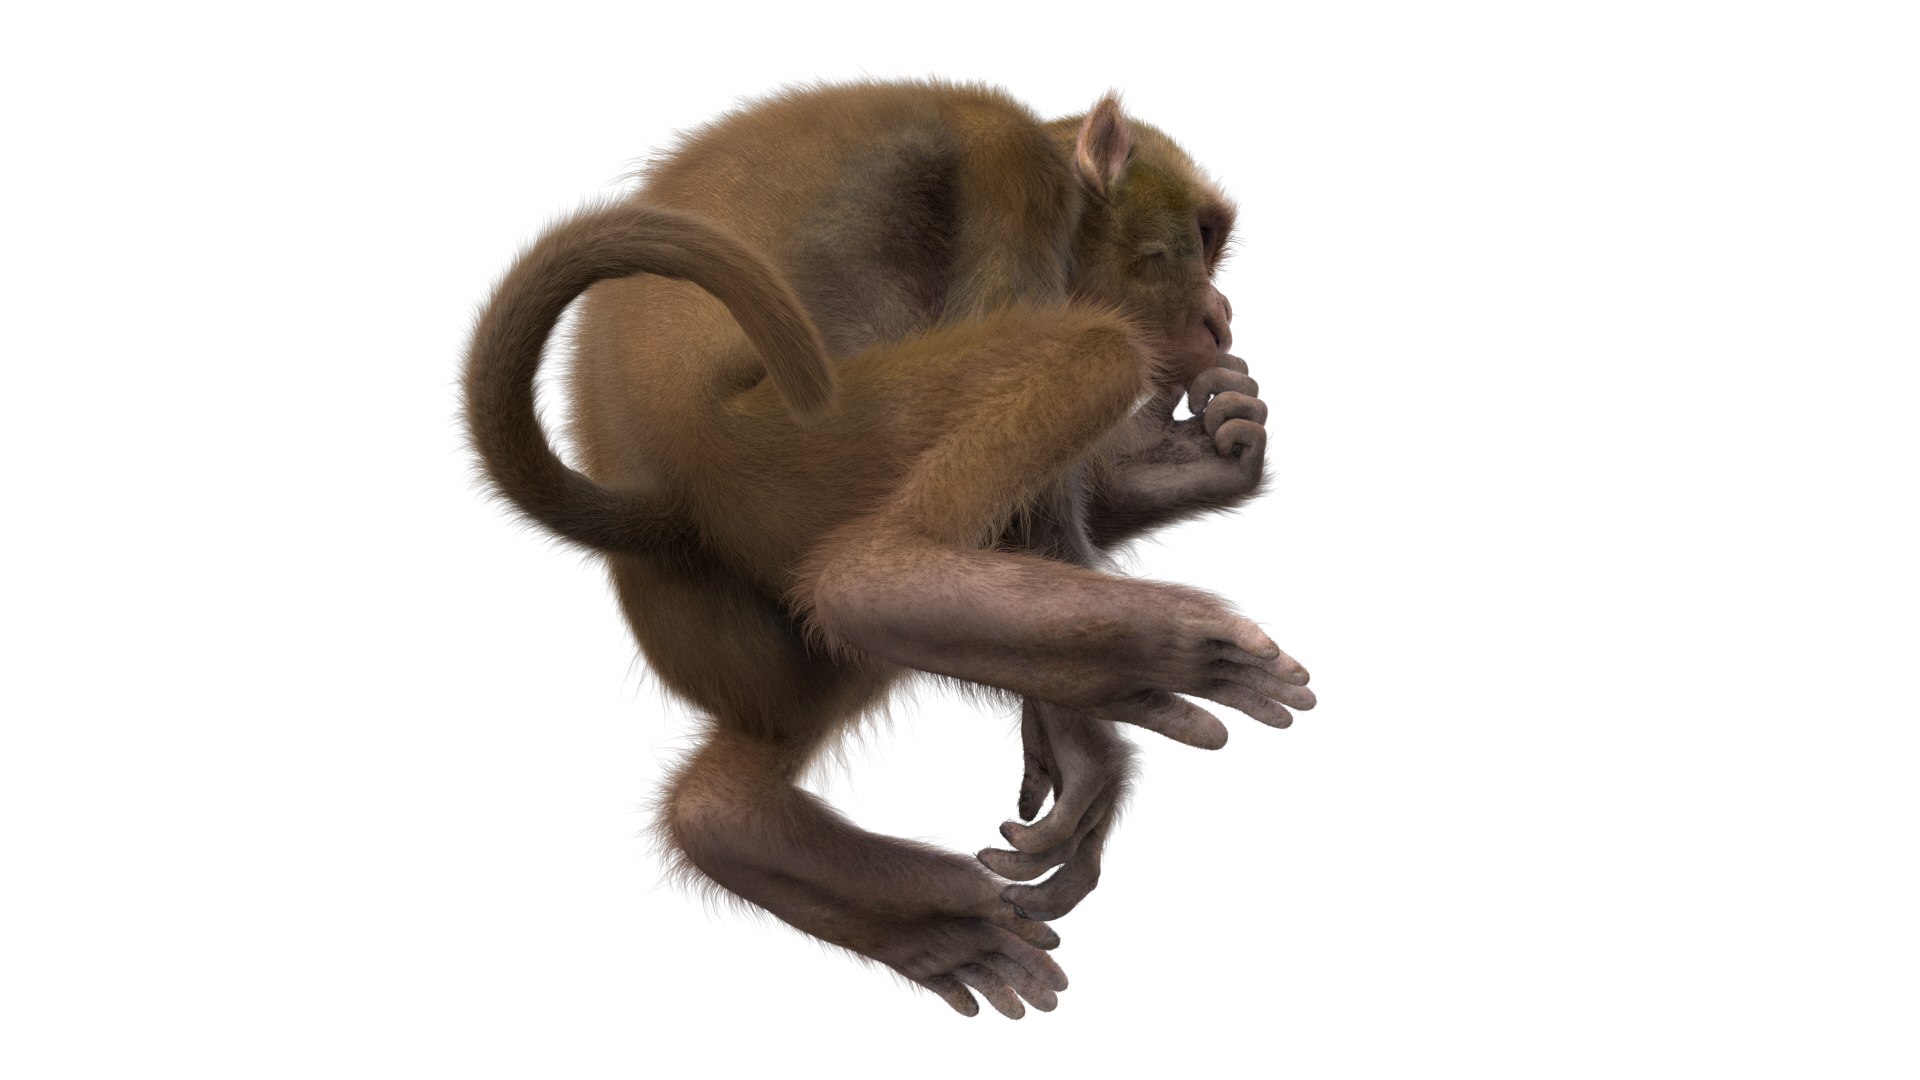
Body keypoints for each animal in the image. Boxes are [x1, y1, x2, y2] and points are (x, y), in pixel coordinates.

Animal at [463, 80, 1314, 1018]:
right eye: (1198, 236)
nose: (1220, 316)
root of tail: (660, 500)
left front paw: (1180, 464)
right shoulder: (1014, 182)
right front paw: (1091, 753)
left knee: (766, 733)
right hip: (800, 442)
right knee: (1086, 359)